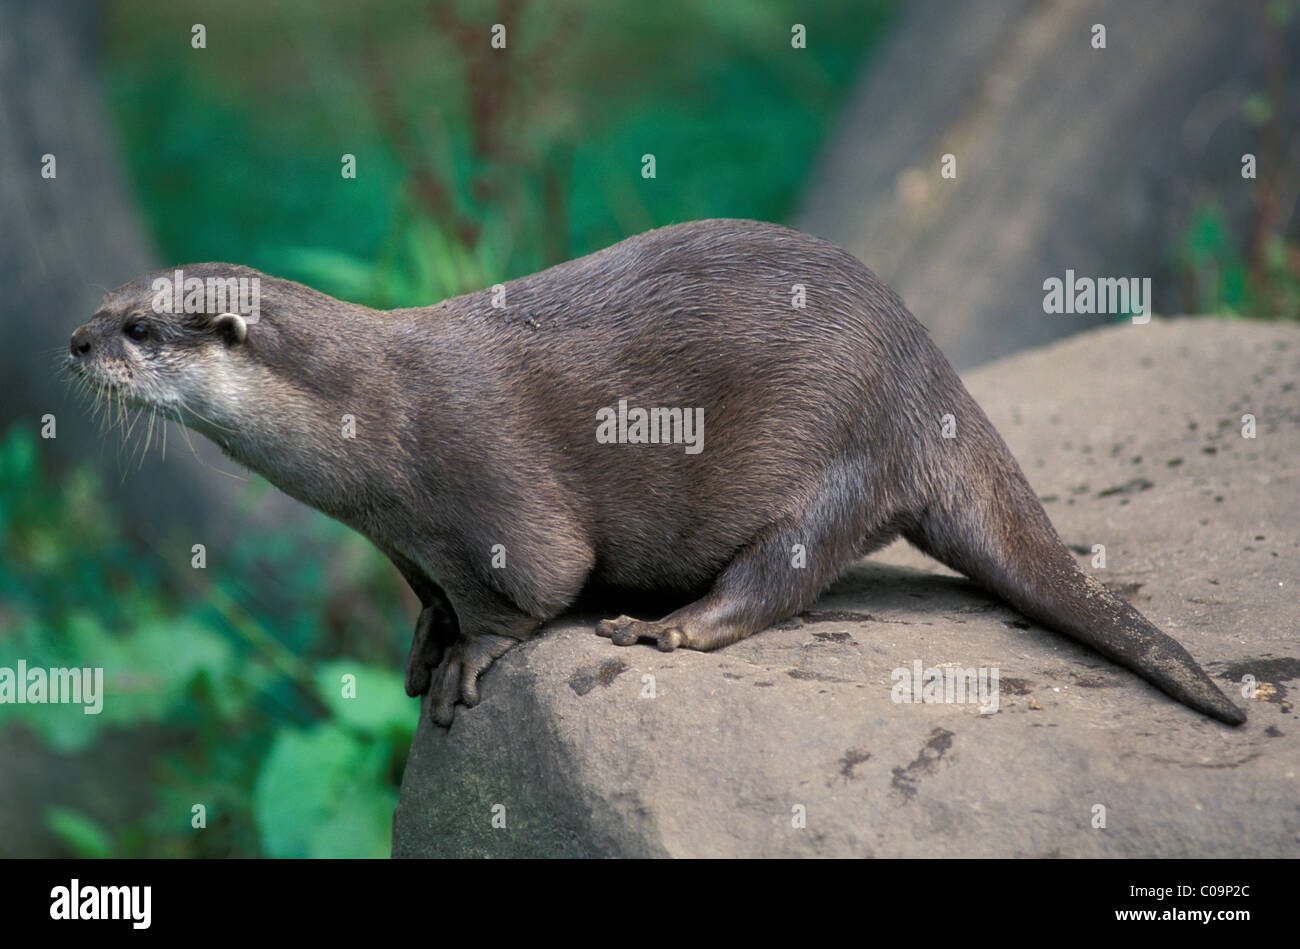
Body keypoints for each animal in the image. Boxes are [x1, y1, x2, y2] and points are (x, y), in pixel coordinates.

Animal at [66, 219, 1246, 727]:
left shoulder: (489, 491)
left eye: (139, 329)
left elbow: (534, 589)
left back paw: (671, 626)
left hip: (846, 450)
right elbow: (433, 595)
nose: (72, 340)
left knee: (787, 569)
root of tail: (933, 379)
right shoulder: (403, 538)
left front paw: (467, 661)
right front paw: (423, 641)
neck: (375, 427)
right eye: (109, 300)